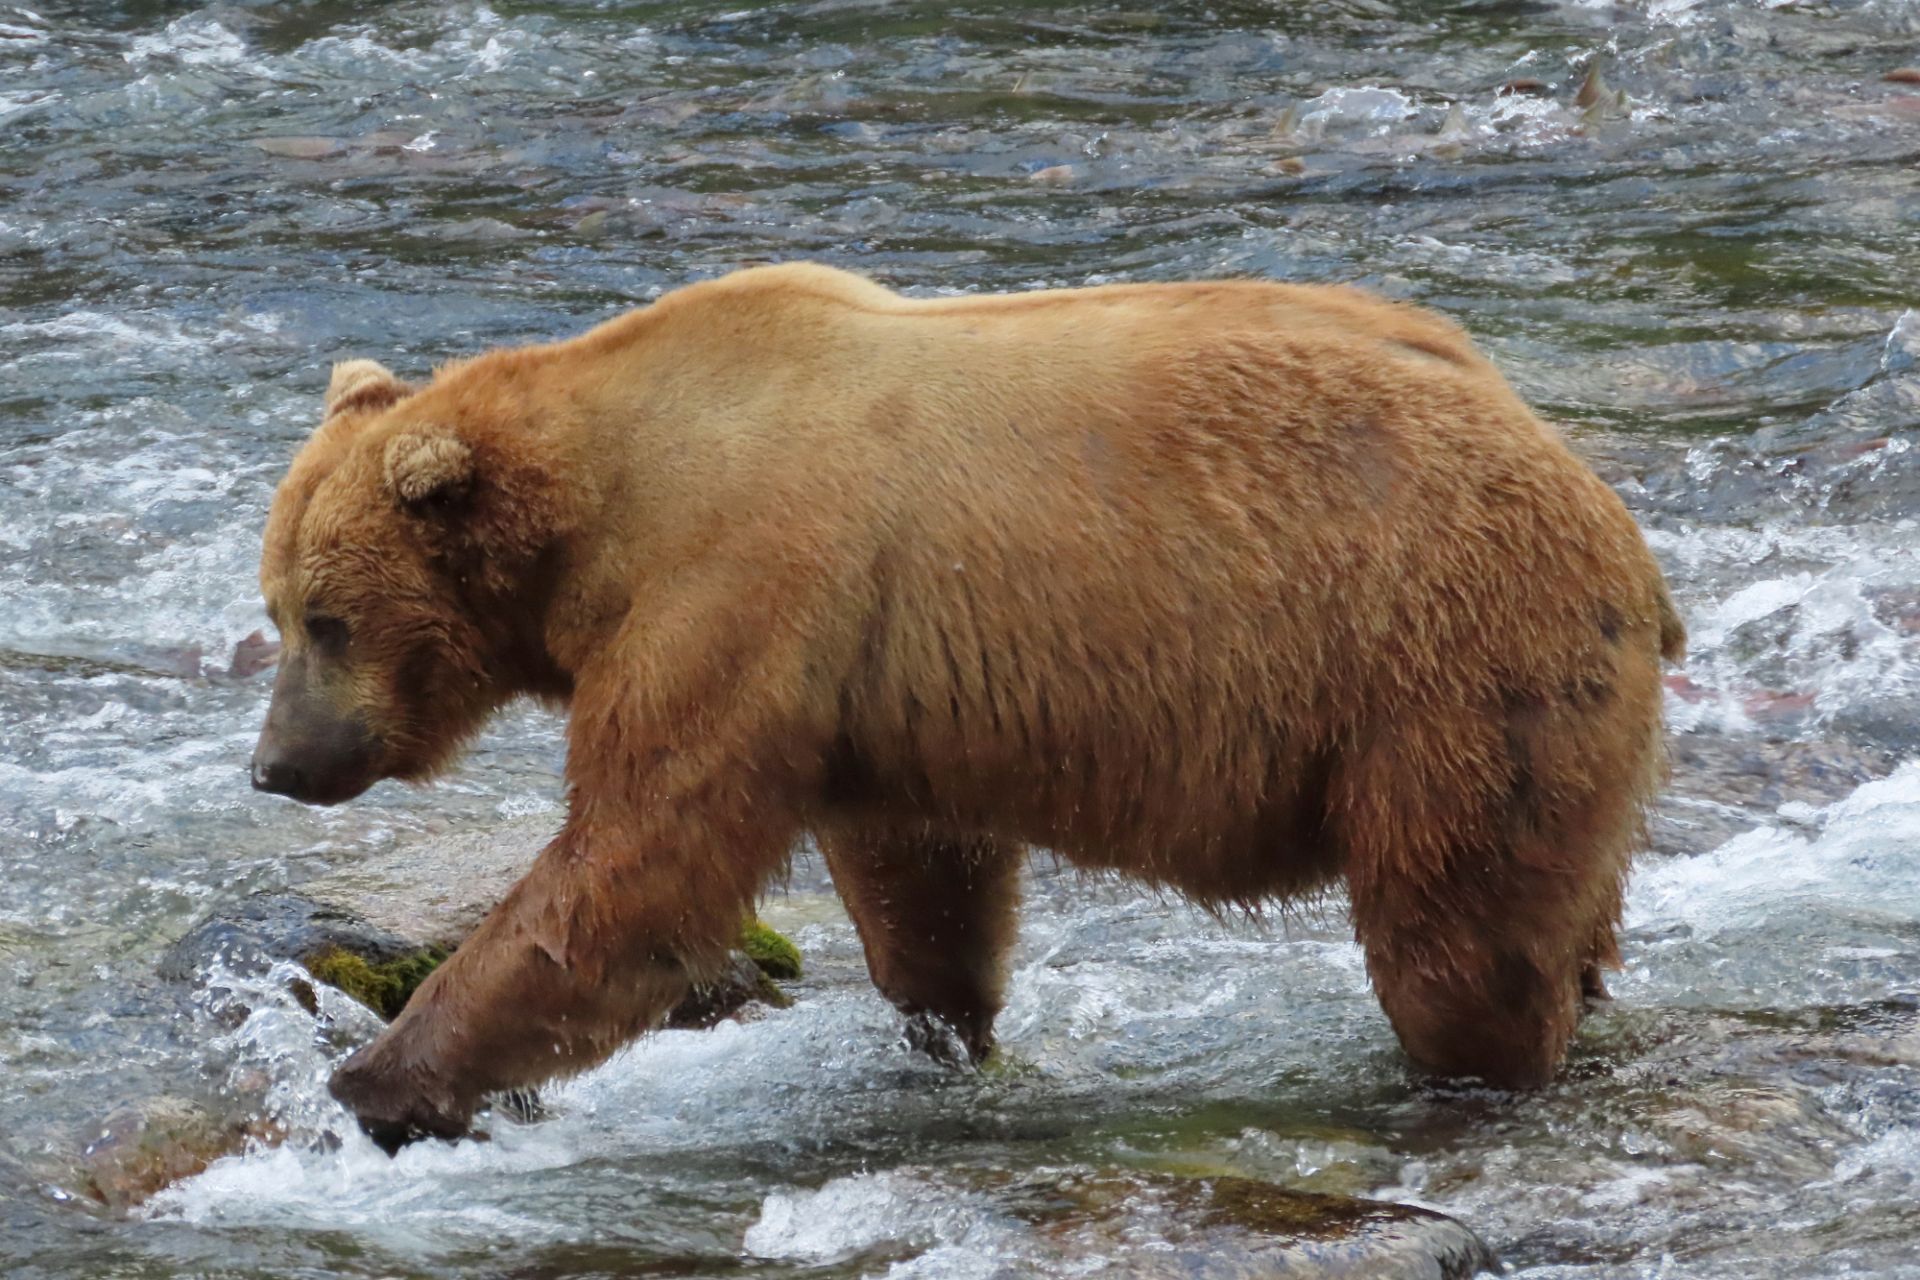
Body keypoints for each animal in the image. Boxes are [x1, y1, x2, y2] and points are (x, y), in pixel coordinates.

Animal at [250, 262, 1683, 1152]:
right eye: (275, 606)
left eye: (326, 617)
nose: (274, 765)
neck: (600, 514)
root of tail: (1603, 505)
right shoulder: (865, 691)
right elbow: (921, 883)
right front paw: (944, 1034)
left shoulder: (736, 591)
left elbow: (635, 863)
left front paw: (378, 1078)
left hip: (1445, 660)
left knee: (1455, 934)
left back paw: (1471, 1081)